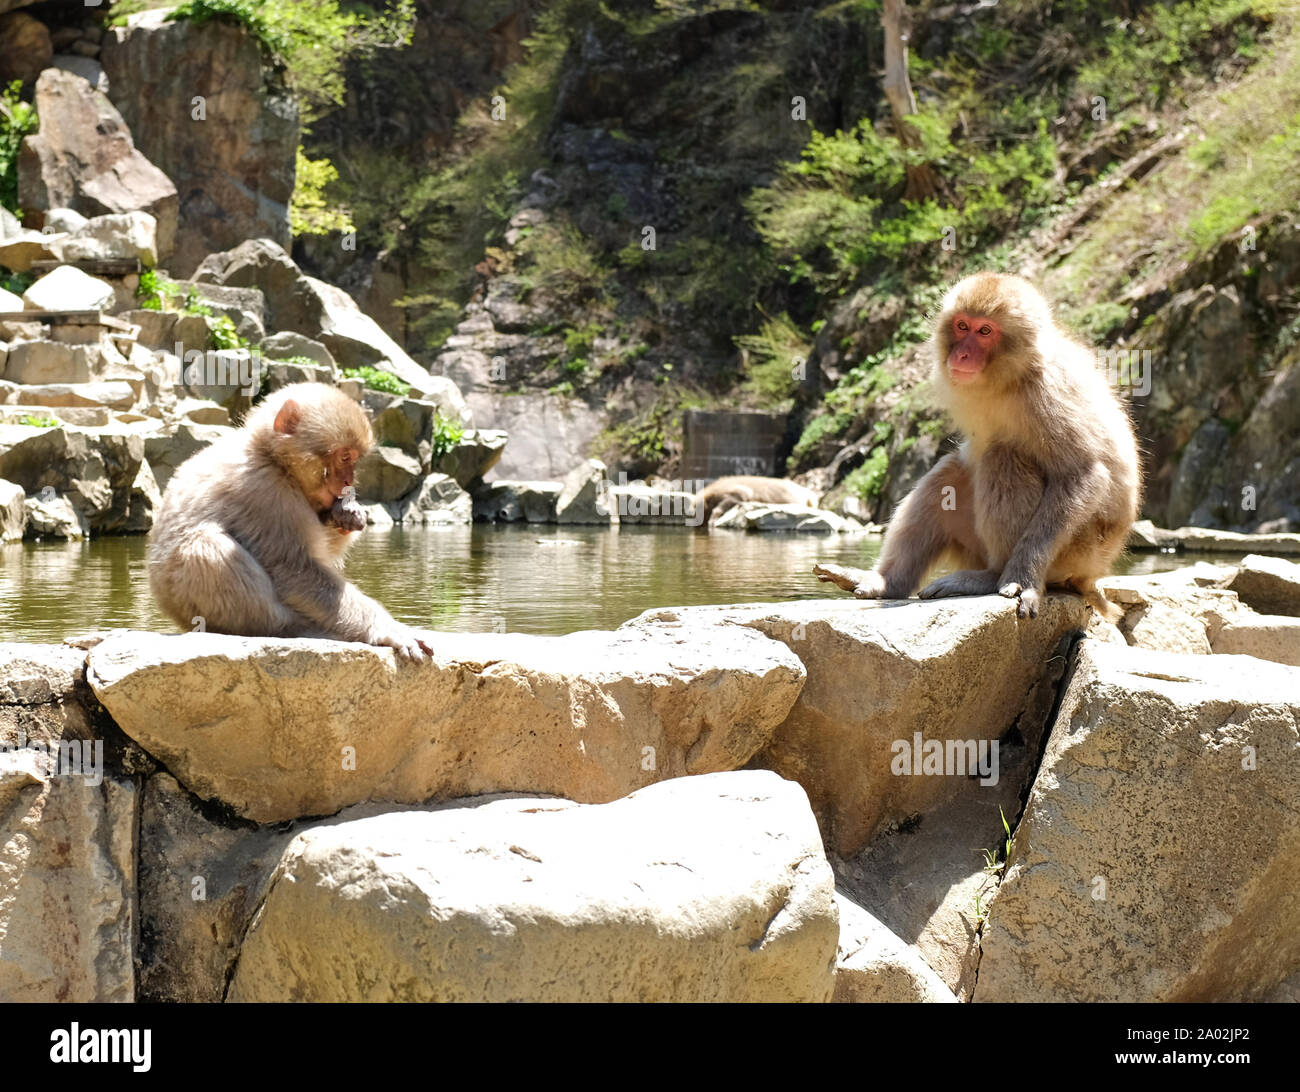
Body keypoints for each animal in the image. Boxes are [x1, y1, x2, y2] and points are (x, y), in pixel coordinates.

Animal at [148, 382, 434, 659]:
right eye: (344, 457)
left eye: (354, 460)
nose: (348, 481)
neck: (272, 459)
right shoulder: (267, 492)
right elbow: (295, 568)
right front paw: (386, 628)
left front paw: (347, 513)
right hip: (188, 601)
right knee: (206, 546)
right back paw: (291, 628)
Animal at [815, 272, 1140, 621]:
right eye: (962, 326)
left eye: (985, 331)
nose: (961, 354)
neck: (1013, 376)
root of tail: (1091, 575)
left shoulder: (1048, 393)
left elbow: (1083, 473)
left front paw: (1023, 576)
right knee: (948, 476)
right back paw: (887, 582)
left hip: (1076, 551)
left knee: (1004, 456)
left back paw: (992, 575)